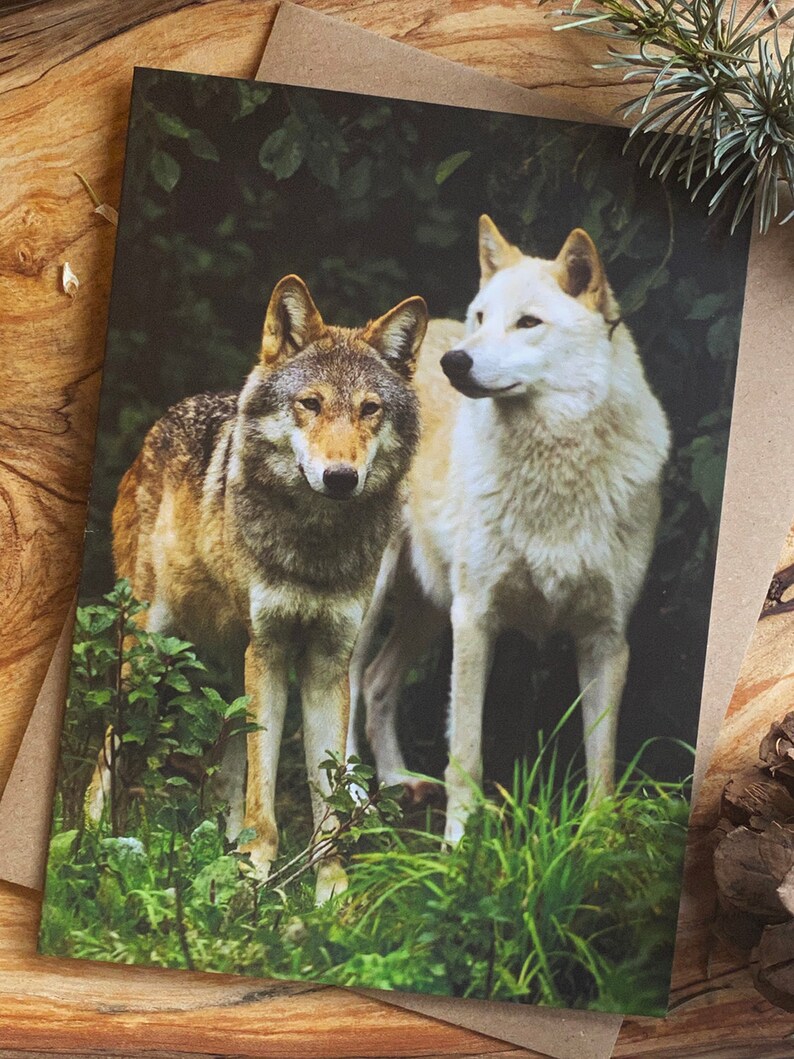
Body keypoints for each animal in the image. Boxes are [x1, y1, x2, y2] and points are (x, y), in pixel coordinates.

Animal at [109, 274, 427, 901]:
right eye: (310, 404)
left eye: (369, 409)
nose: (340, 477)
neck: (315, 547)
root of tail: (162, 419)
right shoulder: (272, 652)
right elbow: (265, 791)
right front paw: (257, 871)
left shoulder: (328, 662)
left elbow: (327, 796)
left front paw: (330, 887)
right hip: (150, 653)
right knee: (109, 744)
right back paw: (90, 840)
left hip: (229, 674)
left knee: (227, 773)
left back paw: (221, 849)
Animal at [348, 217, 670, 844]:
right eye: (480, 317)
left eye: (528, 323)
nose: (454, 363)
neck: (553, 471)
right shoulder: (476, 621)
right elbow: (466, 757)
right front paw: (455, 851)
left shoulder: (605, 639)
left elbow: (602, 764)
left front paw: (597, 845)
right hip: (370, 606)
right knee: (337, 690)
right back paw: (349, 802)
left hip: (427, 611)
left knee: (376, 682)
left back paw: (398, 782)